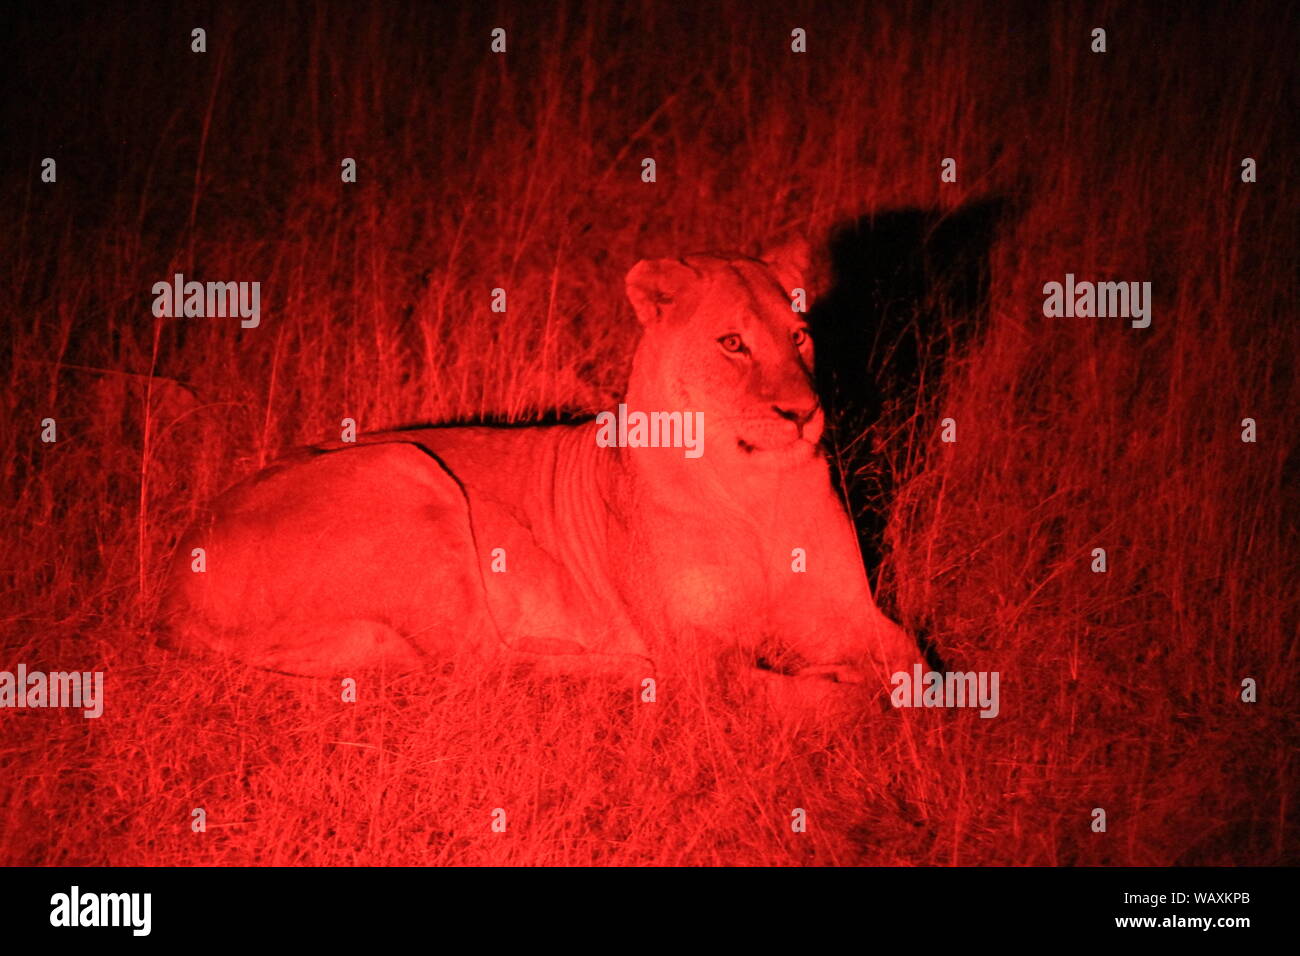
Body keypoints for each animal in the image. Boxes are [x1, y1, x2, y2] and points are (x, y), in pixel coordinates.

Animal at [162, 240, 921, 694]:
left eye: (800, 337)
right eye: (733, 343)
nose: (802, 413)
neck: (756, 488)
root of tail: (173, 587)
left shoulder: (850, 608)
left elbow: (918, 661)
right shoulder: (696, 657)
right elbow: (801, 698)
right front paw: (844, 690)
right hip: (407, 471)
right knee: (480, 667)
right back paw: (616, 670)